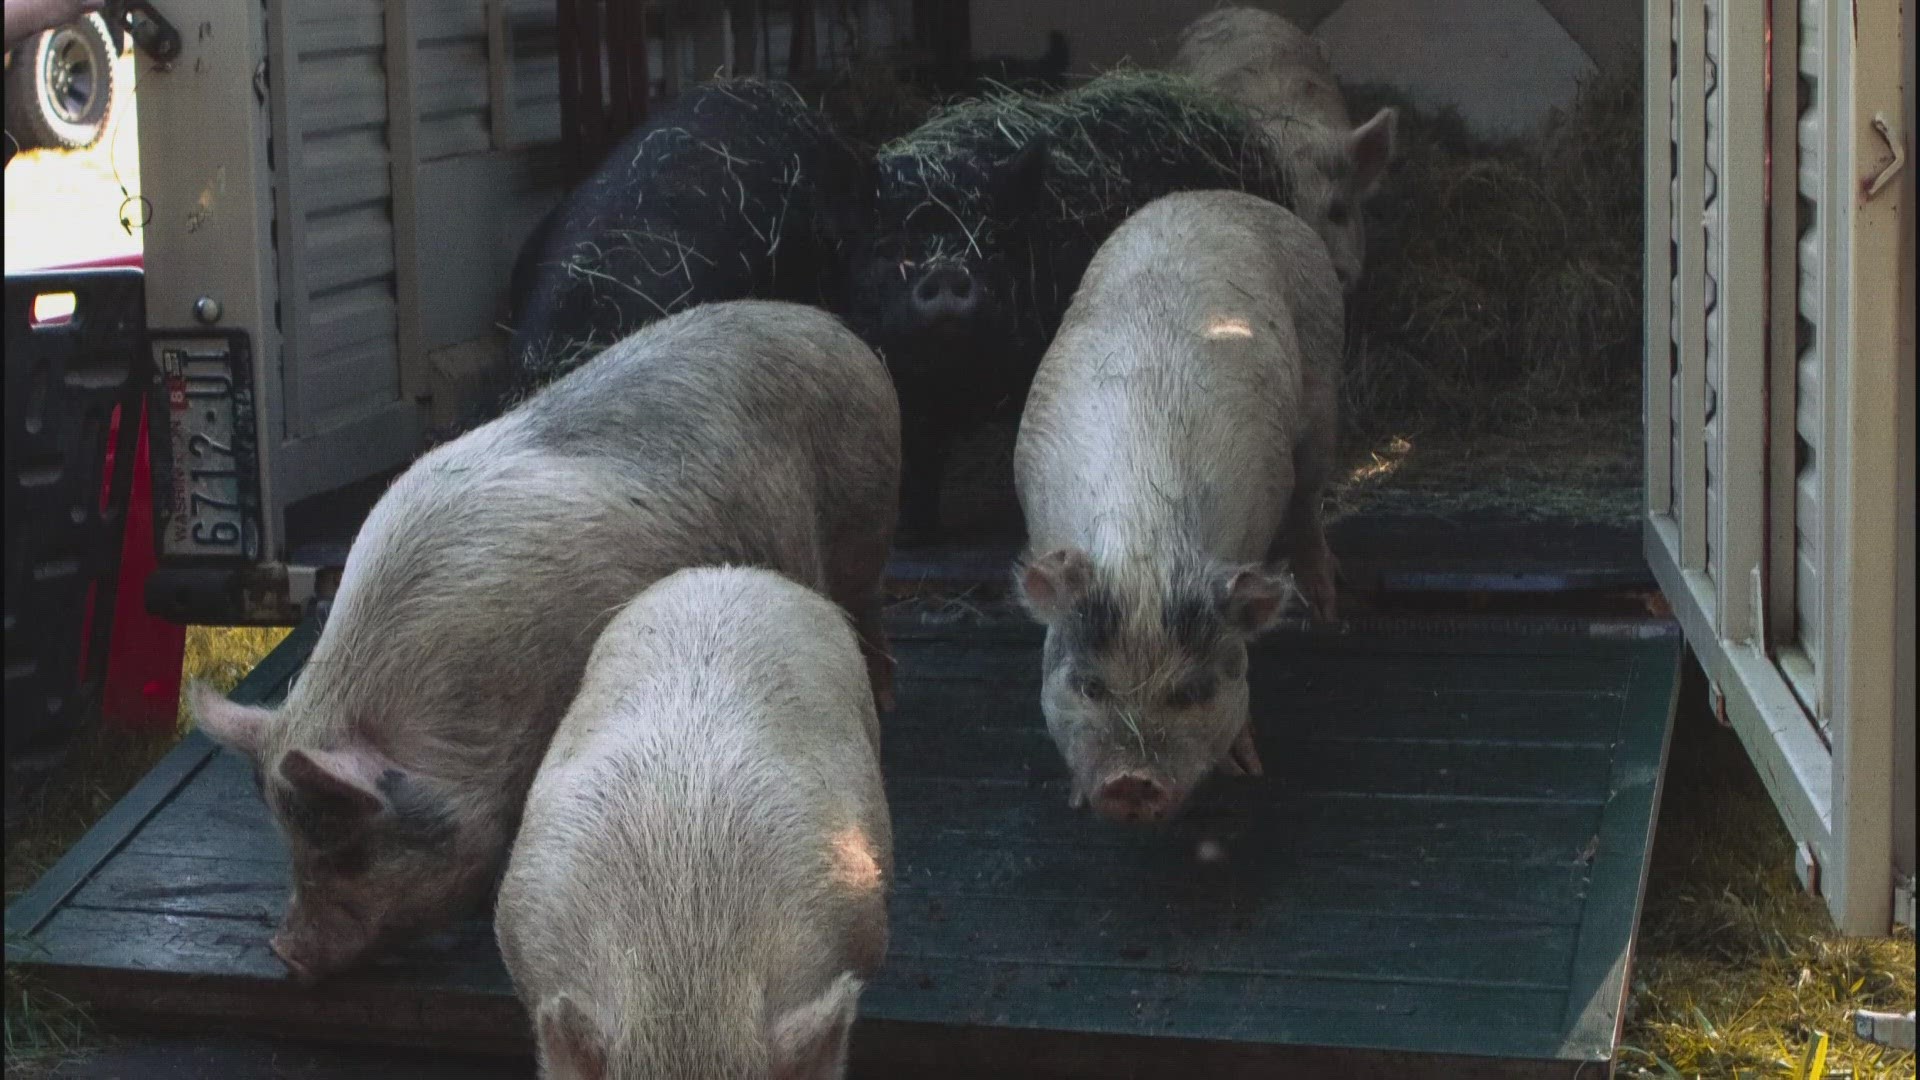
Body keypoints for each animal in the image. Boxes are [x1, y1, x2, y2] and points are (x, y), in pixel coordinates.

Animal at [1012, 190, 1344, 826]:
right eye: (1089, 686)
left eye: (1193, 692)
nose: (1130, 783)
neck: (1145, 548)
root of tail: (1221, 195)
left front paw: (1249, 771)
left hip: (1322, 395)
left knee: (1309, 504)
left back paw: (1329, 613)